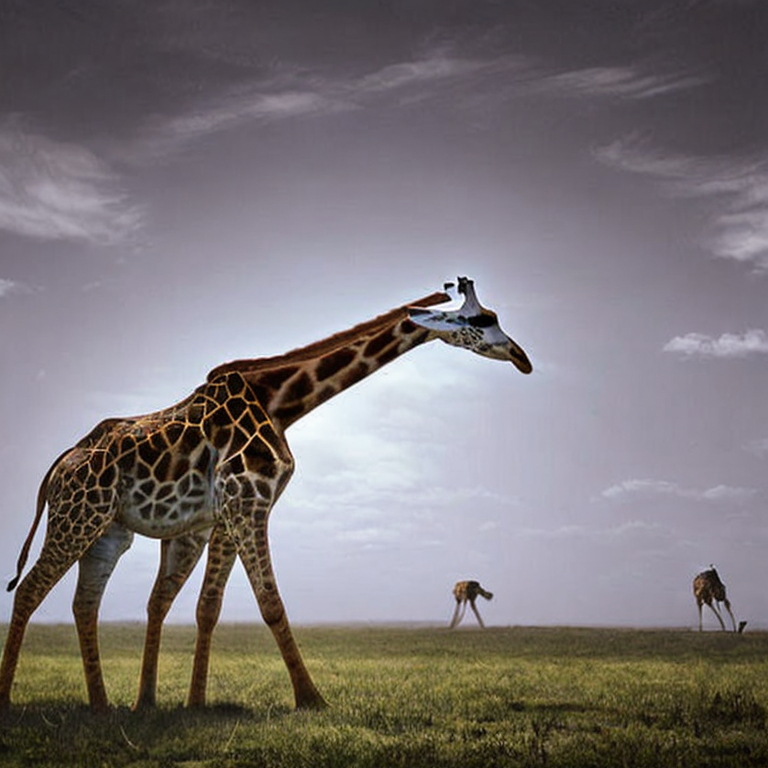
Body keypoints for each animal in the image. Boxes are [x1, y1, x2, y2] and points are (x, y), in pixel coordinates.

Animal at [0, 277, 532, 716]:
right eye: (482, 320)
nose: (522, 358)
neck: (282, 402)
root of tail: (59, 465)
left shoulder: (226, 513)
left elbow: (208, 607)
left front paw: (193, 704)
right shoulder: (247, 500)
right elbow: (271, 604)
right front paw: (312, 699)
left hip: (109, 530)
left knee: (85, 604)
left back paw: (105, 706)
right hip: (78, 513)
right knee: (29, 590)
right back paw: (13, 699)